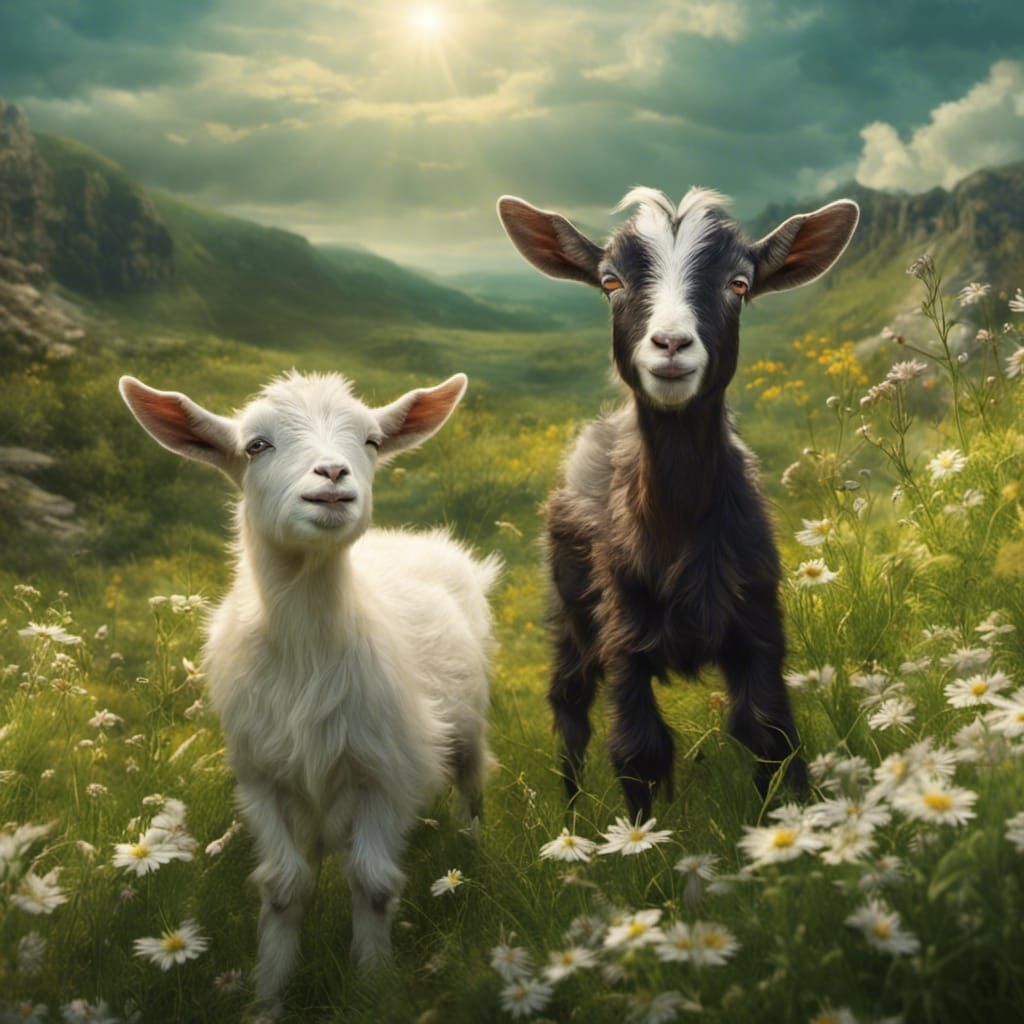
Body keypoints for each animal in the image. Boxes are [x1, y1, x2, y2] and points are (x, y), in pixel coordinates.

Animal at [119, 370, 498, 1011]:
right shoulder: (261, 779)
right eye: (255, 446)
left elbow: (372, 884)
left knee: (471, 790)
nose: (332, 476)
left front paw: (374, 989)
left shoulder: (385, 773)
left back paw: (467, 857)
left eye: (371, 441)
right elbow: (283, 887)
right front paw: (268, 997)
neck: (309, 655)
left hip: (467, 727)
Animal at [497, 186, 858, 820]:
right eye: (610, 281)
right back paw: (570, 822)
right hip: (569, 606)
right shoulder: (622, 635)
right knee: (569, 706)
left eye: (738, 284)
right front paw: (645, 844)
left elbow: (770, 732)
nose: (670, 344)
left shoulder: (761, 622)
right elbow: (637, 749)